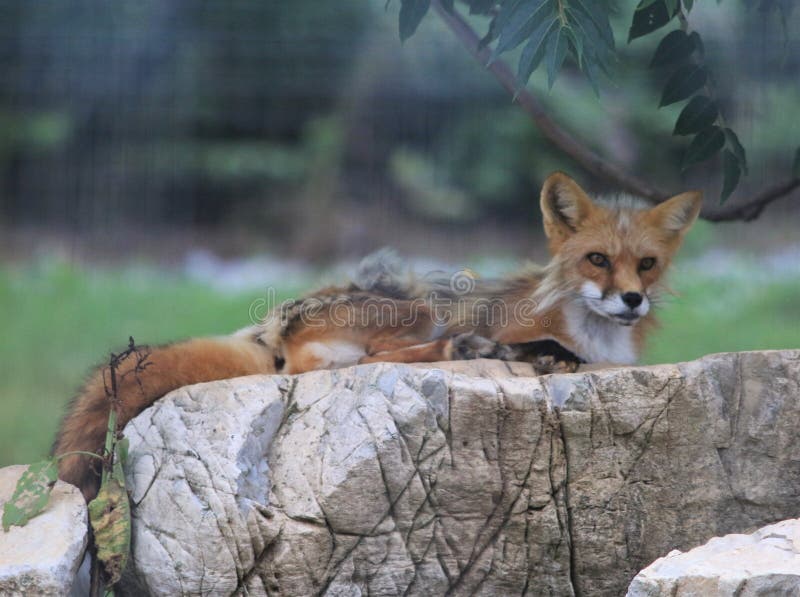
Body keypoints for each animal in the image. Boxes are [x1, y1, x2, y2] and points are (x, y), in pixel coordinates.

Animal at [53, 172, 702, 501]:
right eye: (597, 259)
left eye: (646, 265)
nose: (632, 300)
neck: (591, 335)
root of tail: (273, 325)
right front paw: (543, 352)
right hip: (415, 307)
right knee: (376, 359)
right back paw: (473, 348)